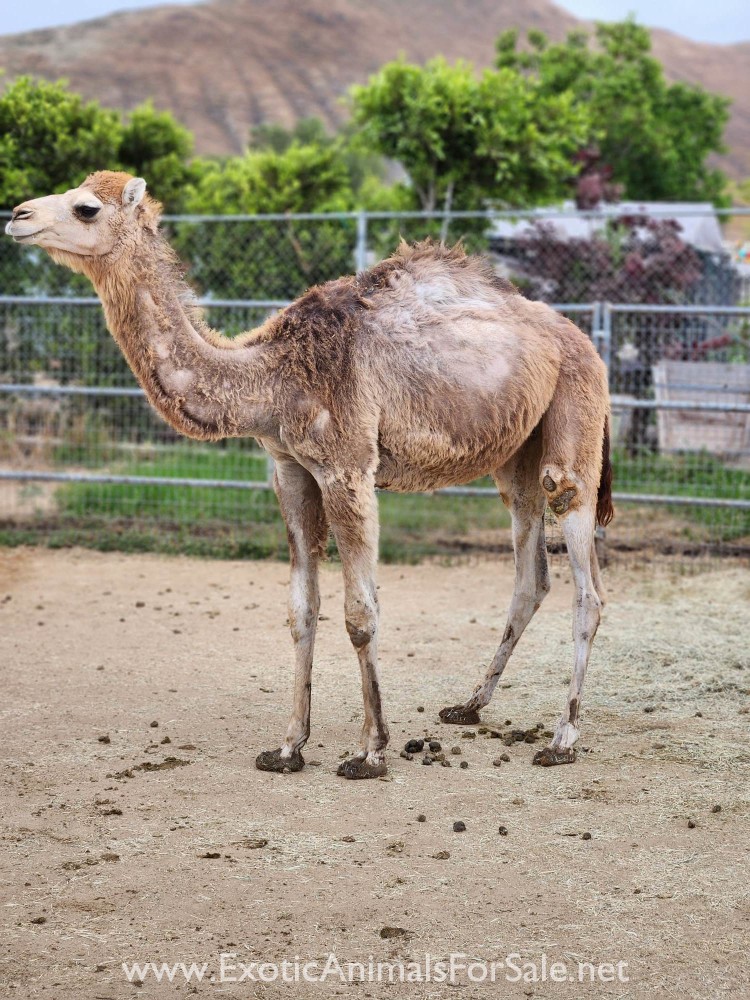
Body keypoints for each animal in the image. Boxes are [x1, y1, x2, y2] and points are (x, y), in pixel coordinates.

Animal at [6, 171, 613, 779]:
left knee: (585, 575)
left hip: (574, 422)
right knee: (530, 574)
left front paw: (370, 750)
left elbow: (360, 612)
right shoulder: (290, 469)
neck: (271, 376)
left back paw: (562, 739)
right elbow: (302, 610)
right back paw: (468, 706)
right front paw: (287, 747)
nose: (17, 215)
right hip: (514, 457)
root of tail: (578, 336)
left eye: (86, 208)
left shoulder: (348, 466)